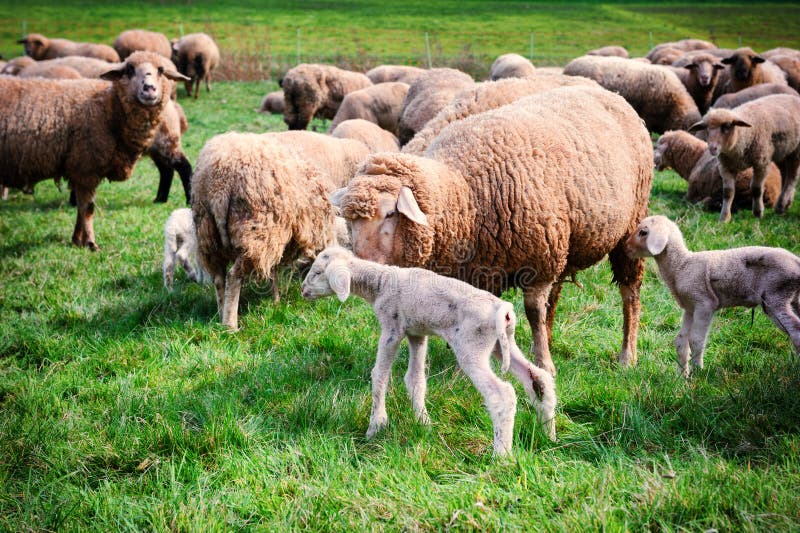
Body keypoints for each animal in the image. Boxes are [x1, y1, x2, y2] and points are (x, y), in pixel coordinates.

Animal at [0, 52, 189, 250]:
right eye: (130, 69)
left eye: (160, 70)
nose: (149, 88)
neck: (108, 109)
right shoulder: (85, 166)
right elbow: (87, 208)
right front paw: (88, 242)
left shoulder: (82, 168)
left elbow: (83, 208)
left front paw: (80, 240)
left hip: (165, 142)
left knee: (178, 167)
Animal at [191, 132, 340, 329]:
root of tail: (219, 186)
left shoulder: (278, 237)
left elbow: (273, 271)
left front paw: (276, 301)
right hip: (255, 232)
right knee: (233, 276)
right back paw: (230, 325)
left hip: (208, 233)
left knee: (218, 278)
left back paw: (220, 314)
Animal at [300, 246, 557, 455]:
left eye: (317, 272)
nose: (303, 290)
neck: (380, 283)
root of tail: (503, 310)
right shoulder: (417, 333)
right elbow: (415, 380)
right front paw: (423, 423)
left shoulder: (391, 328)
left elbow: (379, 376)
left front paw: (376, 426)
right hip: (502, 344)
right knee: (539, 378)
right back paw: (548, 435)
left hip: (472, 346)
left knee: (502, 394)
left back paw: (501, 455)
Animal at [334, 85, 653, 375]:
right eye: (349, 221)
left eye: (390, 214)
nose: (357, 265)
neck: (463, 193)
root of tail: (612, 94)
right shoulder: (482, 270)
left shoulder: (539, 261)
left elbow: (534, 313)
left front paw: (544, 366)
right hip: (566, 241)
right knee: (557, 295)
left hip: (628, 228)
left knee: (629, 292)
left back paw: (627, 356)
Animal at [625, 215, 800, 377]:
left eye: (643, 232)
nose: (626, 247)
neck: (681, 266)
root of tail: (796, 261)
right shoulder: (690, 308)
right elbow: (681, 341)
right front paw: (681, 376)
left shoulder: (704, 304)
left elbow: (696, 340)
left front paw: (697, 373)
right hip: (793, 298)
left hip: (776, 296)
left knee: (795, 331)